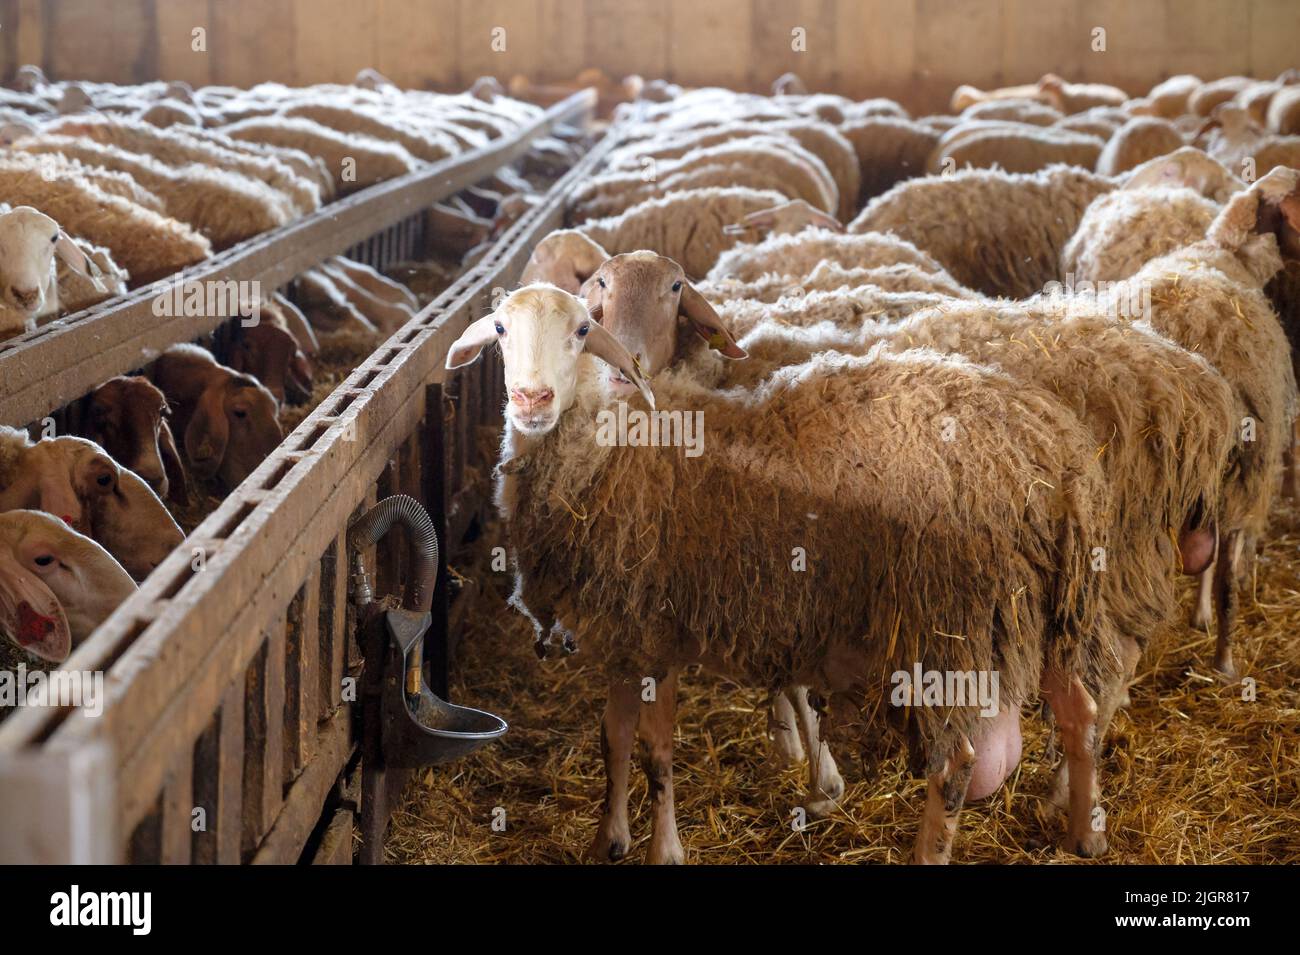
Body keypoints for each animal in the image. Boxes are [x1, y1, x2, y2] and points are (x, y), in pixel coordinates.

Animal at [447, 284, 1119, 864]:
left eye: (583, 330)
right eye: (500, 329)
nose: (531, 400)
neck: (606, 454)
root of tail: (1054, 454)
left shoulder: (656, 632)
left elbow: (657, 754)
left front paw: (664, 849)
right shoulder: (625, 635)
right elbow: (613, 737)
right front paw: (607, 840)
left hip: (948, 621)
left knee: (956, 761)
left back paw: (930, 852)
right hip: (1054, 605)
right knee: (1081, 711)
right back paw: (1085, 832)